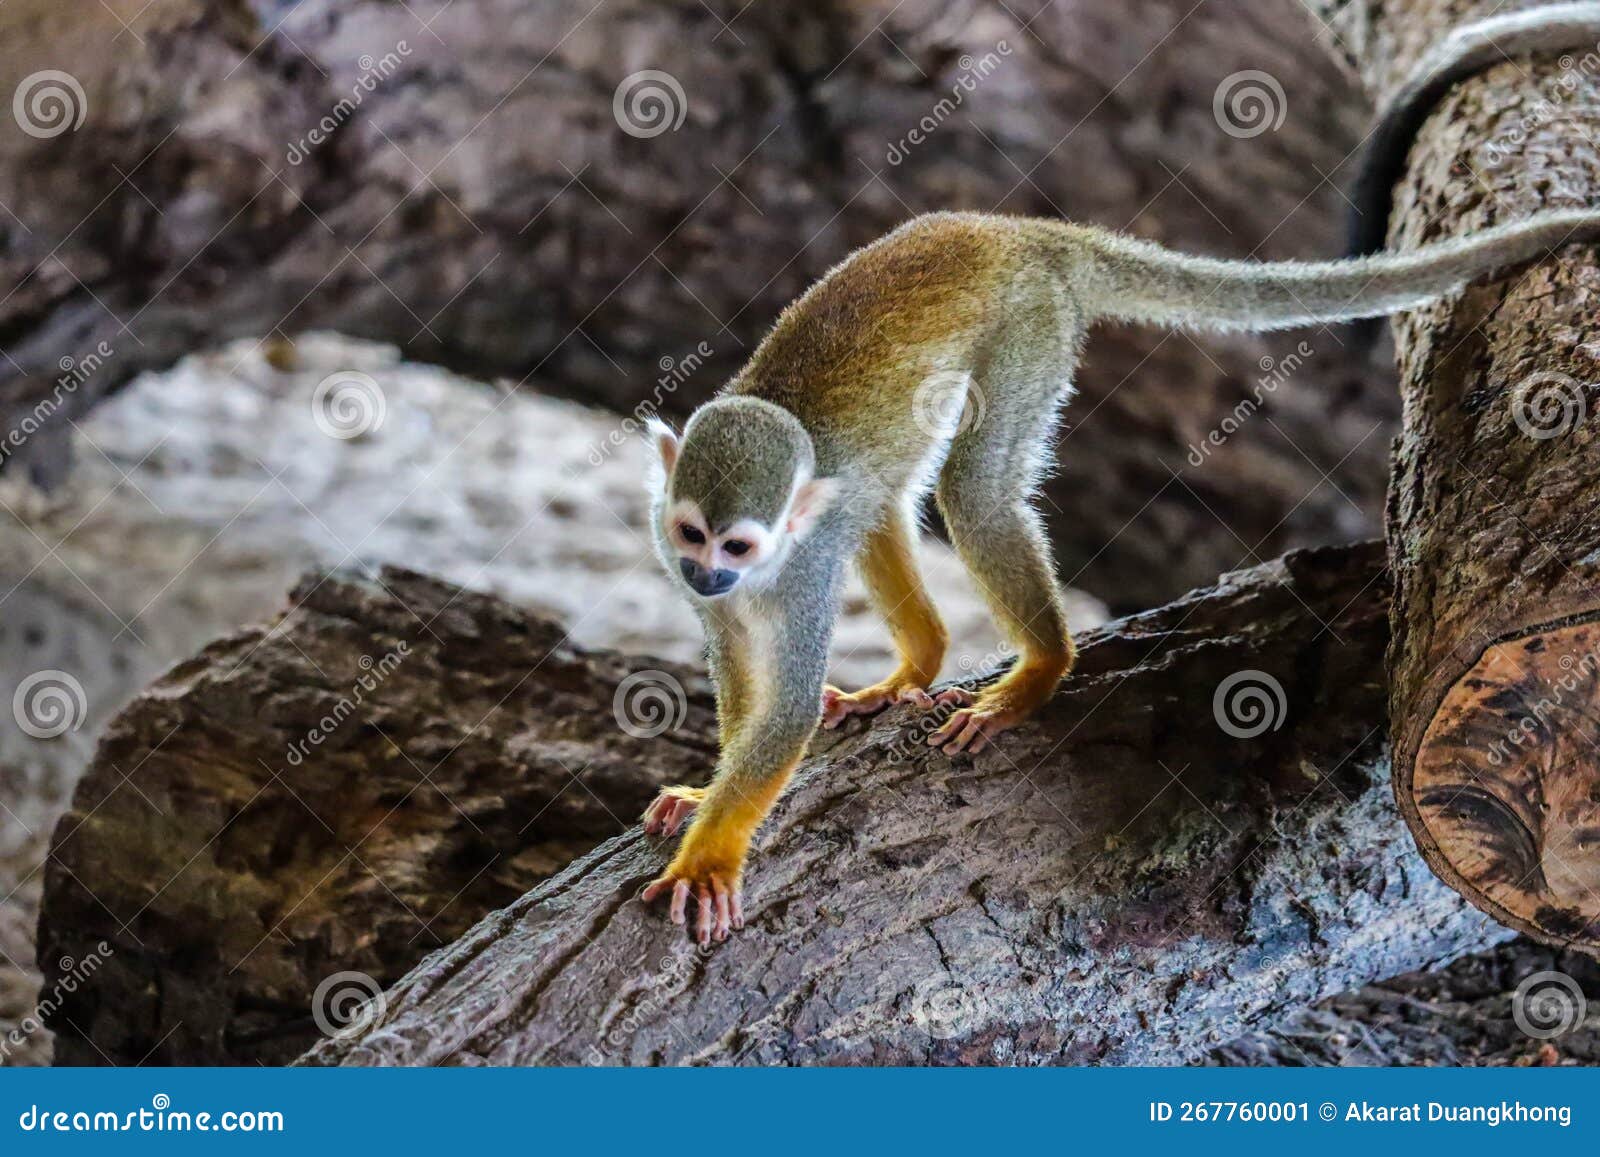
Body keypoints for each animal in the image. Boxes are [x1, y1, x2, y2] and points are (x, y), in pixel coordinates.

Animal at [639, 205, 1600, 944]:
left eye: (739, 546)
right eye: (693, 534)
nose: (706, 575)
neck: (759, 575)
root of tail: (1016, 229)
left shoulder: (797, 576)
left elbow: (787, 709)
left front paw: (711, 857)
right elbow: (744, 678)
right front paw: (704, 792)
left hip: (1028, 327)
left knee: (973, 490)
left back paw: (1042, 669)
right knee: (888, 496)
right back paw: (918, 664)